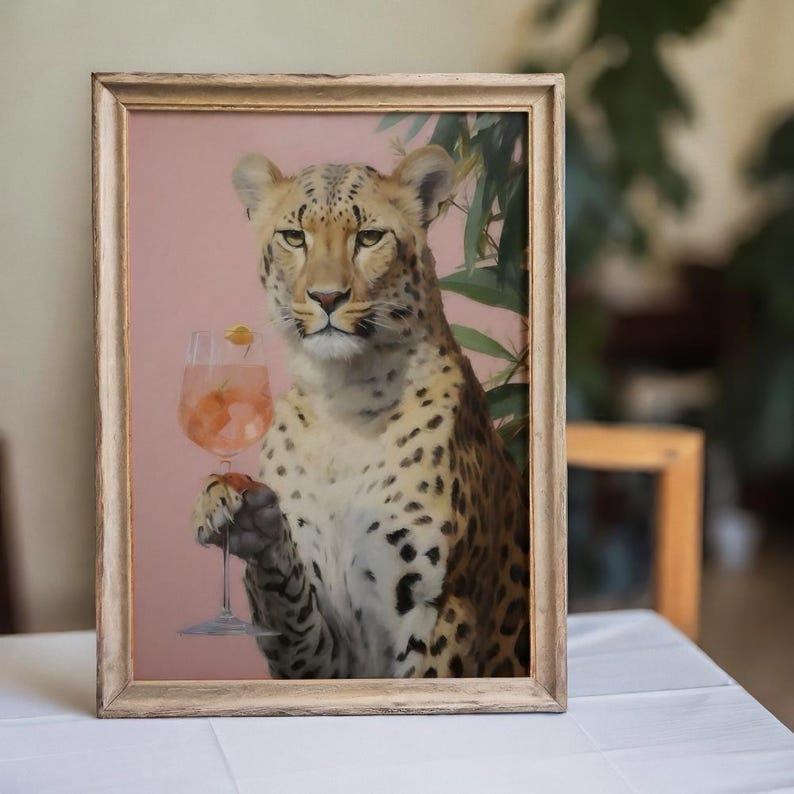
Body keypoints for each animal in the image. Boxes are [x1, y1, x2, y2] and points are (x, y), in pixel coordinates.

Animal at [192, 144, 530, 679]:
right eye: (294, 237)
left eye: (369, 237)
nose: (327, 297)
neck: (342, 405)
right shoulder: (327, 657)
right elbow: (286, 605)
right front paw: (246, 516)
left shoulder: (443, 608)